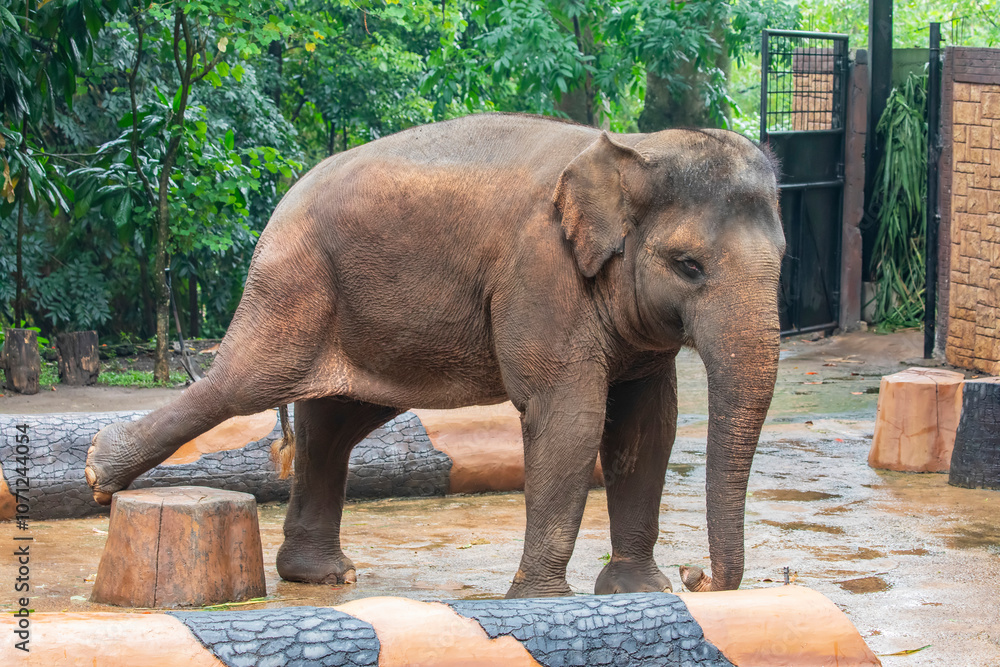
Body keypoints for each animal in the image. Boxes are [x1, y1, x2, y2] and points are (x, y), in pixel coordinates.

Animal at [85, 113, 784, 599]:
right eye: (688, 265)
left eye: (783, 262)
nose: (699, 576)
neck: (634, 146)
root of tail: (287, 195)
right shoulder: (541, 274)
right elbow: (570, 417)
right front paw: (540, 601)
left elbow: (645, 427)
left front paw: (638, 591)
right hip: (292, 280)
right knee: (244, 383)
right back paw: (99, 472)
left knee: (336, 423)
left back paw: (320, 576)